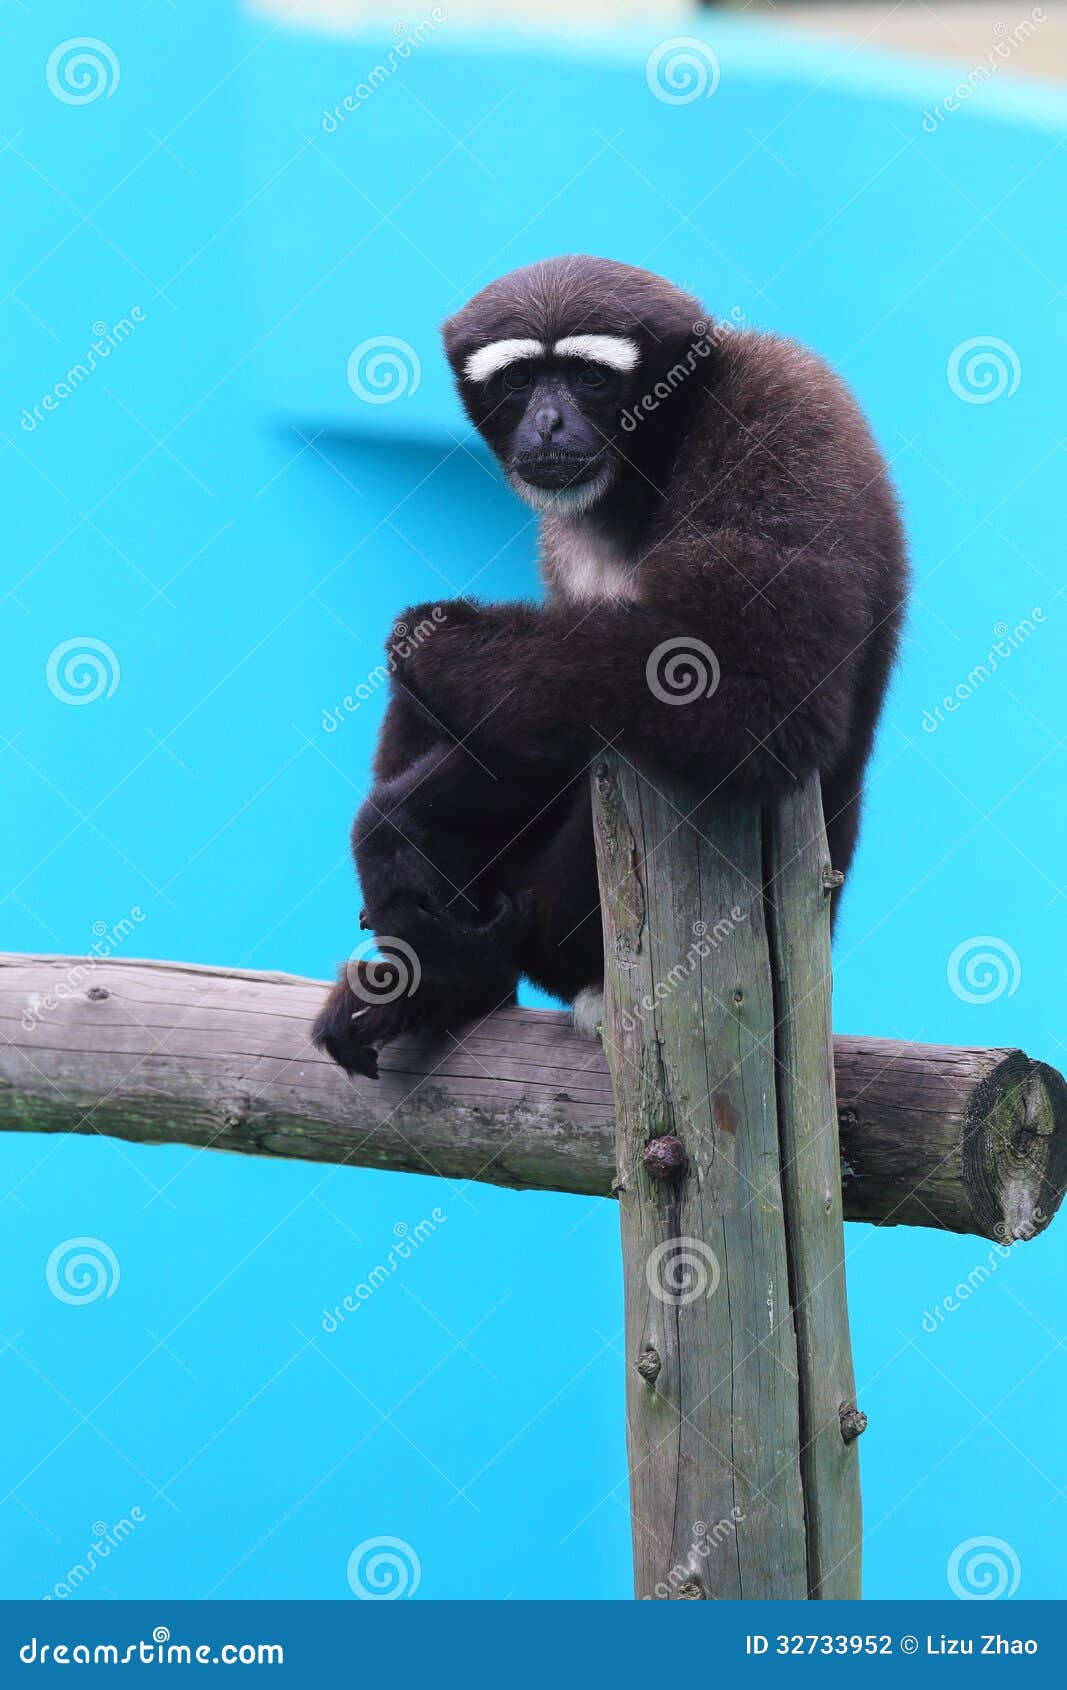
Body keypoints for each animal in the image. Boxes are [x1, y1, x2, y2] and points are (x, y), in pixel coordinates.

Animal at [313, 255, 907, 1078]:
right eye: (519, 380)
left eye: (589, 379)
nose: (548, 423)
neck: (655, 458)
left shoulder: (782, 413)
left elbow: (749, 687)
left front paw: (397, 810)